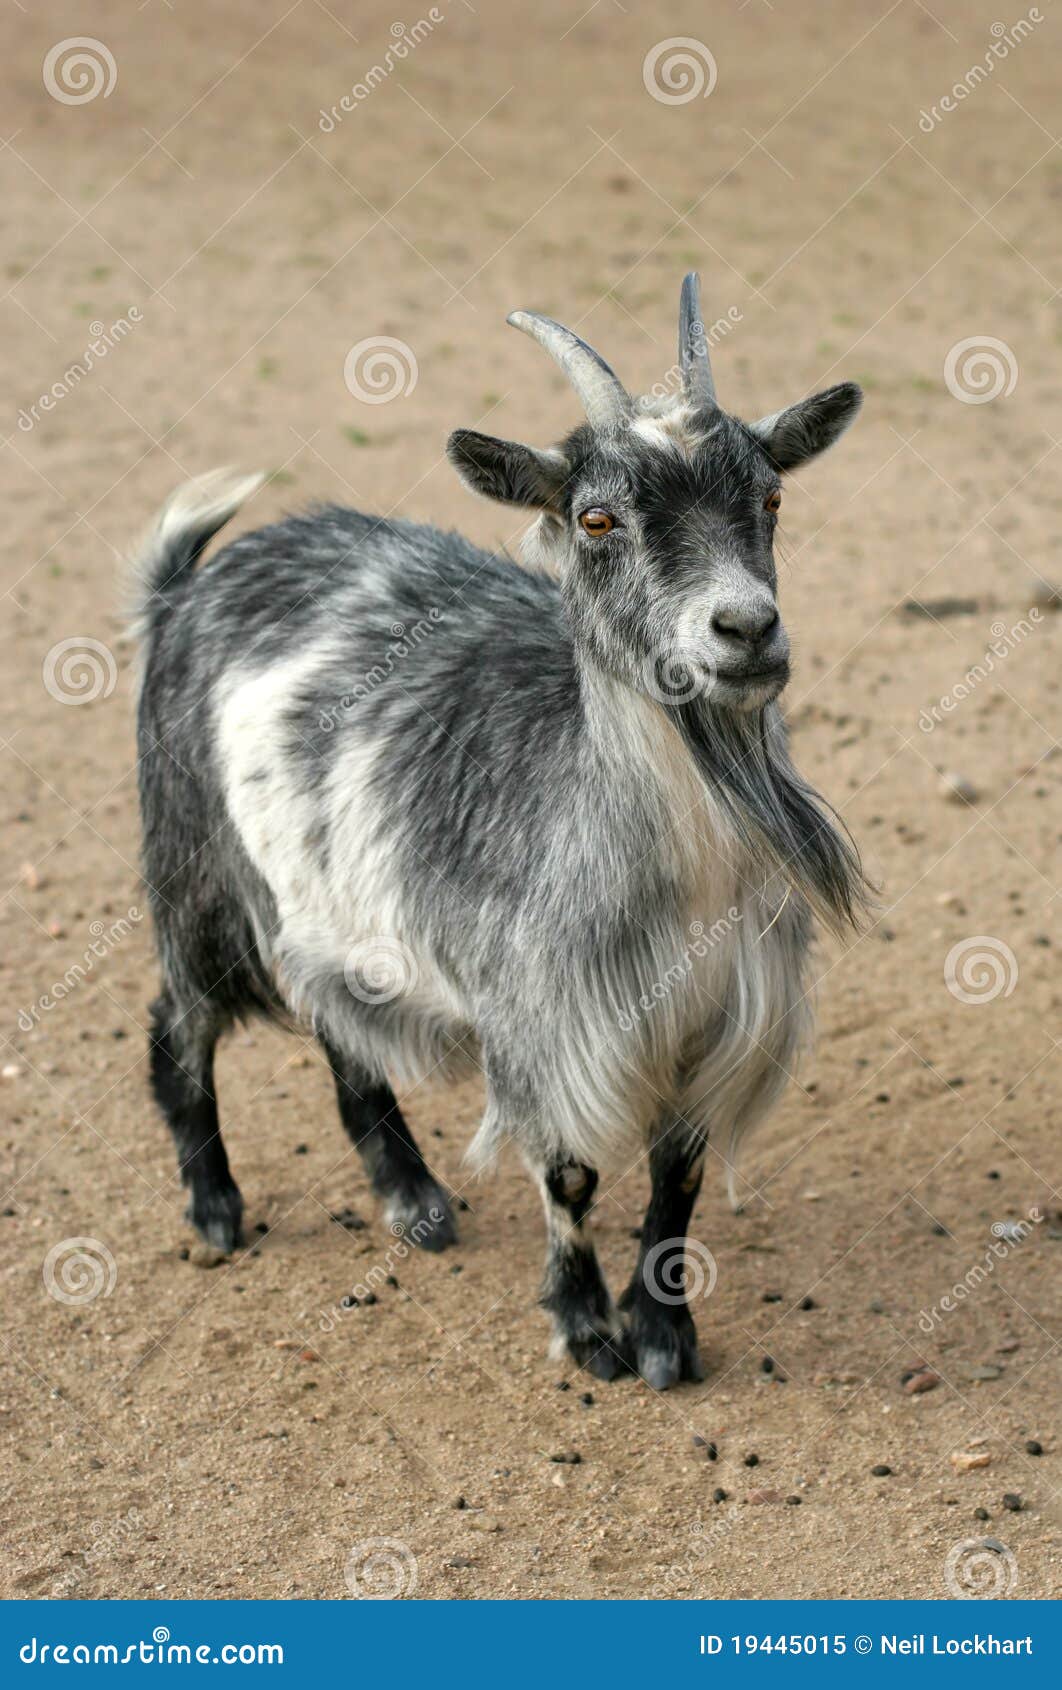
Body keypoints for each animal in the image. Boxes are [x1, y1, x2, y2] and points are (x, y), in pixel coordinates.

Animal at [134, 274, 867, 1388]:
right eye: (596, 516)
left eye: (772, 497)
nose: (745, 631)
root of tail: (189, 585)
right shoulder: (540, 1017)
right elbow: (568, 1175)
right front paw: (587, 1329)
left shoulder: (708, 1020)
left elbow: (679, 1173)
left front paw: (667, 1338)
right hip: (198, 876)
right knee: (180, 1028)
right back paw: (216, 1211)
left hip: (324, 903)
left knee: (340, 1031)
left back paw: (412, 1199)